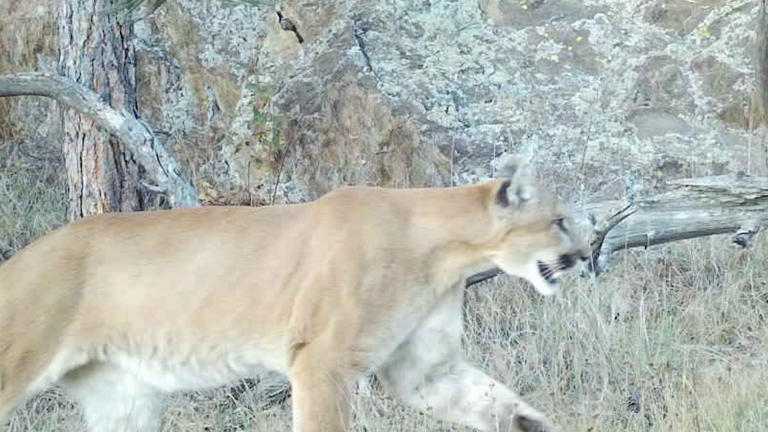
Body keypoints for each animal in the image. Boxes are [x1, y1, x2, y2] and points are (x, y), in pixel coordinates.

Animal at [0, 156, 589, 432]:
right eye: (560, 221)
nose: (586, 256)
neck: (445, 250)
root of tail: (22, 257)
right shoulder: (322, 359)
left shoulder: (425, 370)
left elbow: (490, 399)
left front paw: (537, 426)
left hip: (122, 396)